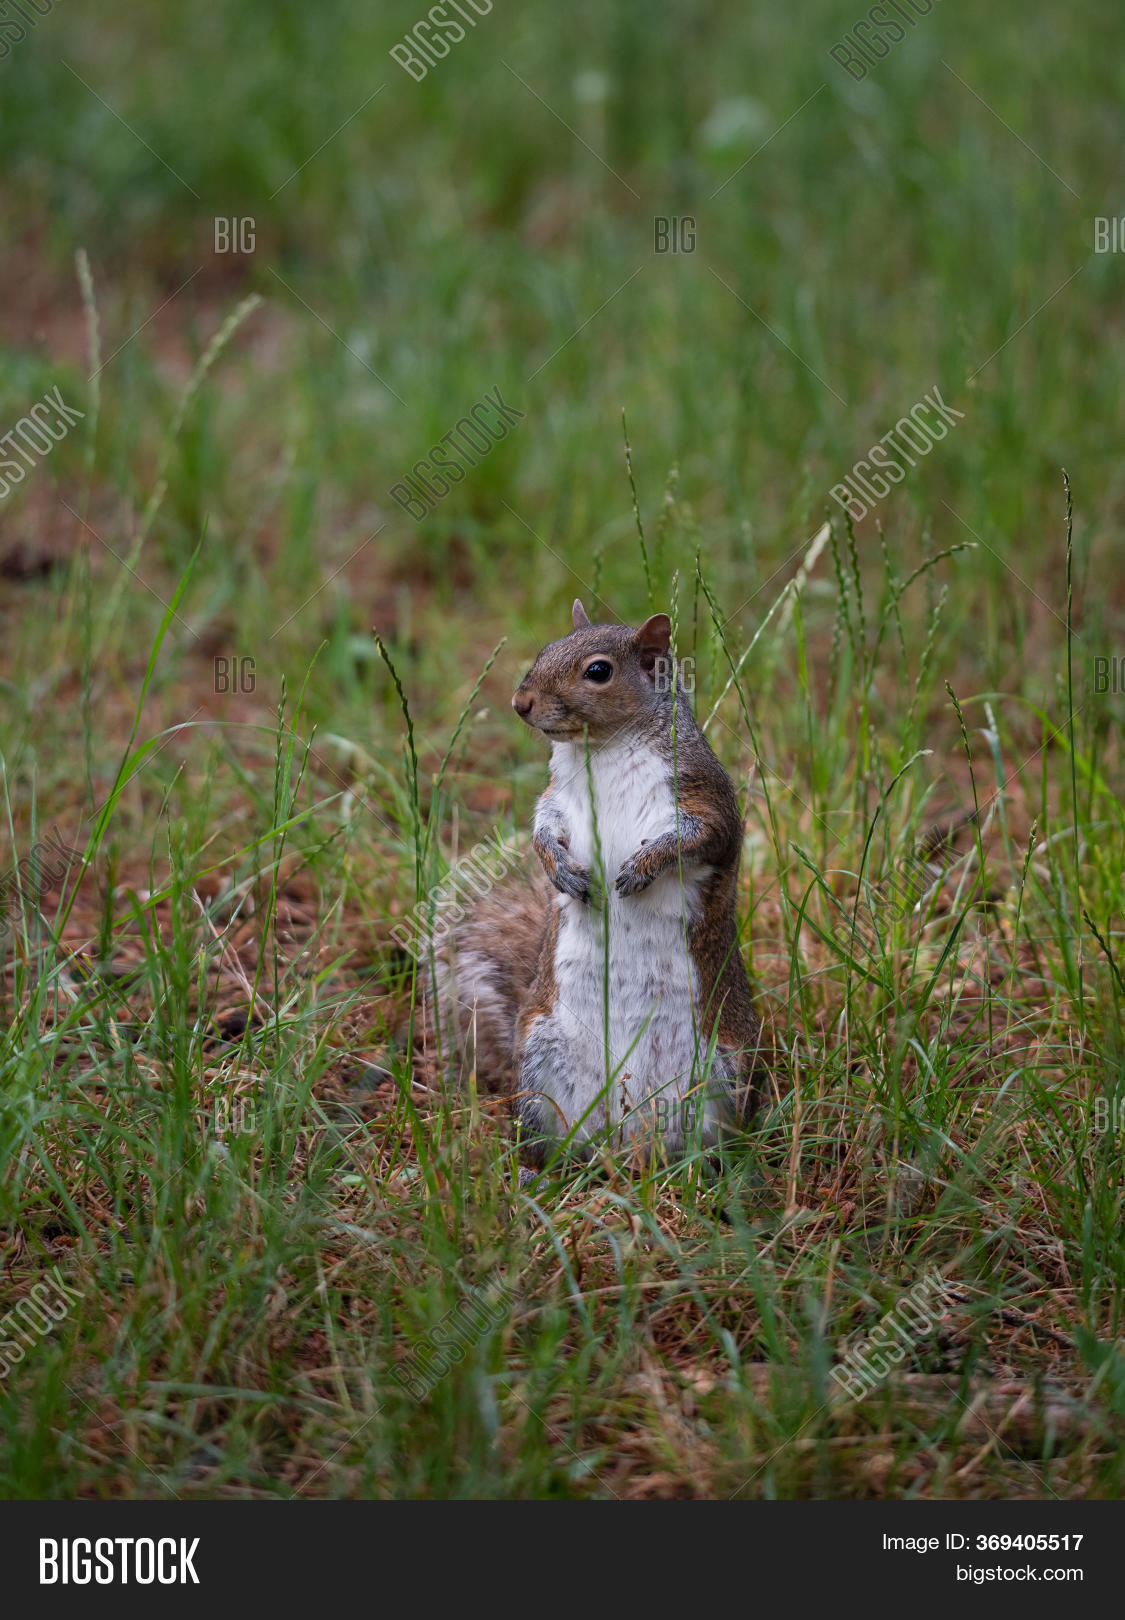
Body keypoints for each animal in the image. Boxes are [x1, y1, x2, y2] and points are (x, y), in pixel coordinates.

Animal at [423, 600, 765, 1168]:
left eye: (598, 671)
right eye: (546, 649)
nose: (521, 703)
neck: (603, 749)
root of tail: (624, 1137)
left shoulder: (704, 797)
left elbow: (699, 838)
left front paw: (643, 866)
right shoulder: (557, 798)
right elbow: (543, 829)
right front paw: (560, 871)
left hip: (724, 1069)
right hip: (539, 1060)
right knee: (544, 1138)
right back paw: (537, 1171)